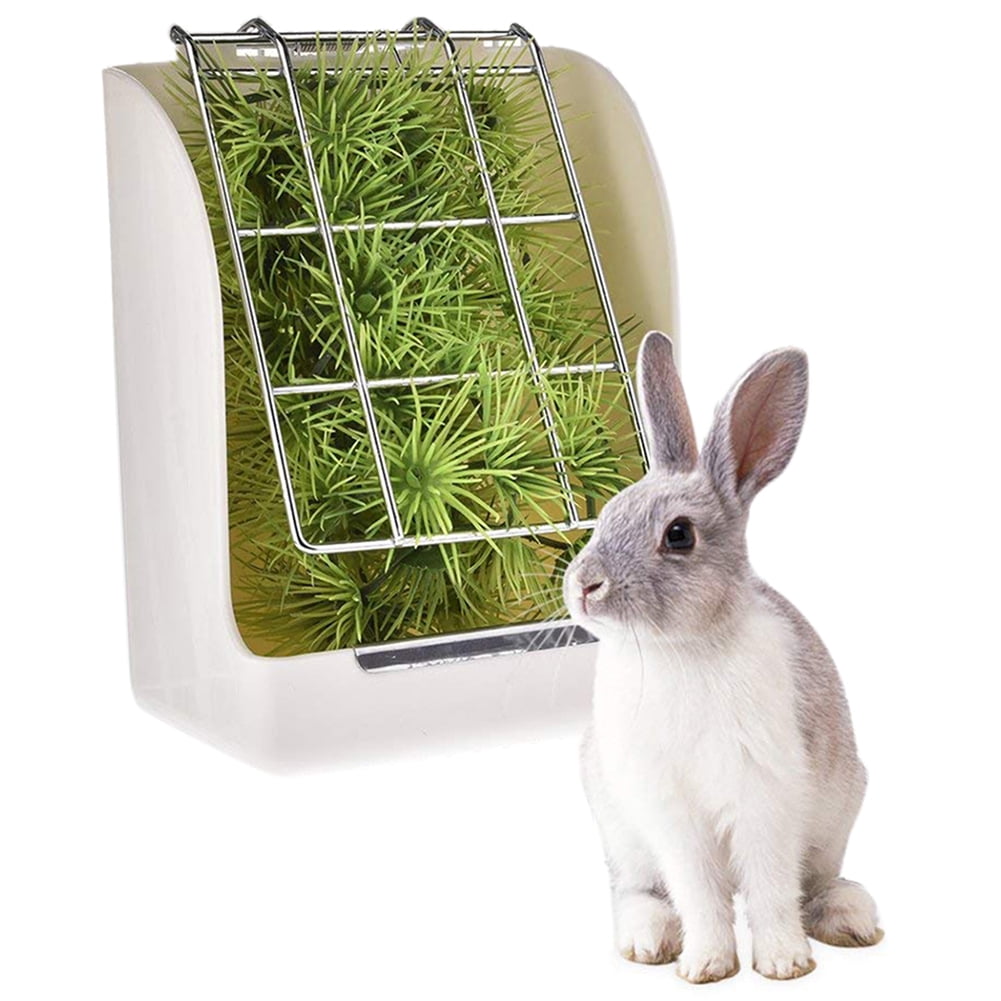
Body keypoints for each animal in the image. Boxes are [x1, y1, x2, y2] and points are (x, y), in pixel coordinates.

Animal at [564, 331, 881, 983]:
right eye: (606, 514)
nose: (583, 586)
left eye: (679, 534)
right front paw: (706, 966)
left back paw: (851, 919)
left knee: (815, 883)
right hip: (621, 833)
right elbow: (698, 891)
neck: (681, 648)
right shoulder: (670, 813)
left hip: (836, 818)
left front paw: (784, 964)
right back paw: (647, 941)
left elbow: (770, 887)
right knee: (637, 891)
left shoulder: (765, 796)